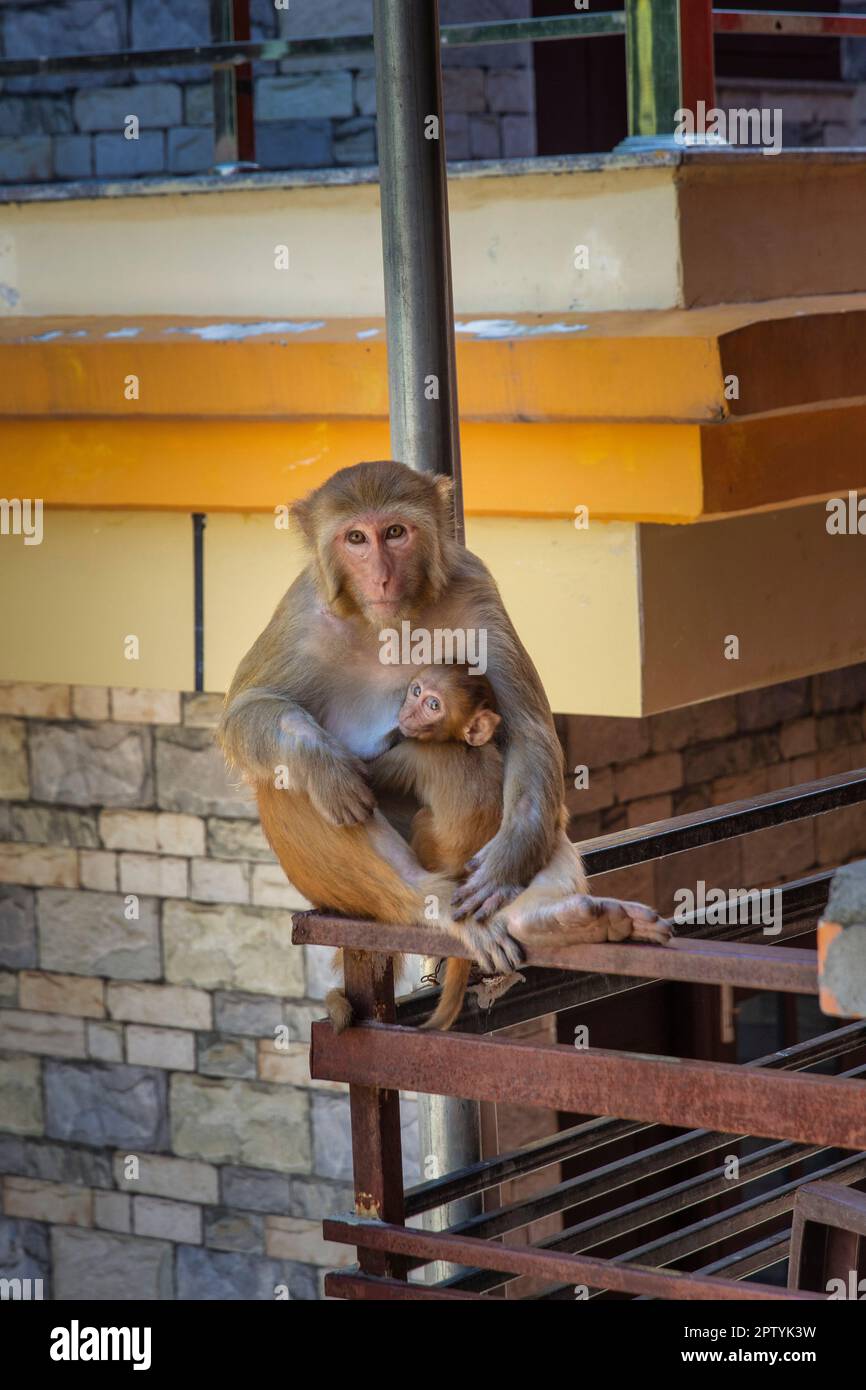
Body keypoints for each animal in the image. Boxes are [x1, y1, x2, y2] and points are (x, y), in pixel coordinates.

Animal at [217, 461, 669, 1032]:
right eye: (355, 538)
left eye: (395, 532)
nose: (381, 577)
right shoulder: (301, 612)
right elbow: (245, 710)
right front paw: (323, 764)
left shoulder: (477, 588)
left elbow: (528, 731)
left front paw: (504, 870)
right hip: (338, 887)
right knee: (286, 782)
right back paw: (429, 899)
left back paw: (550, 918)